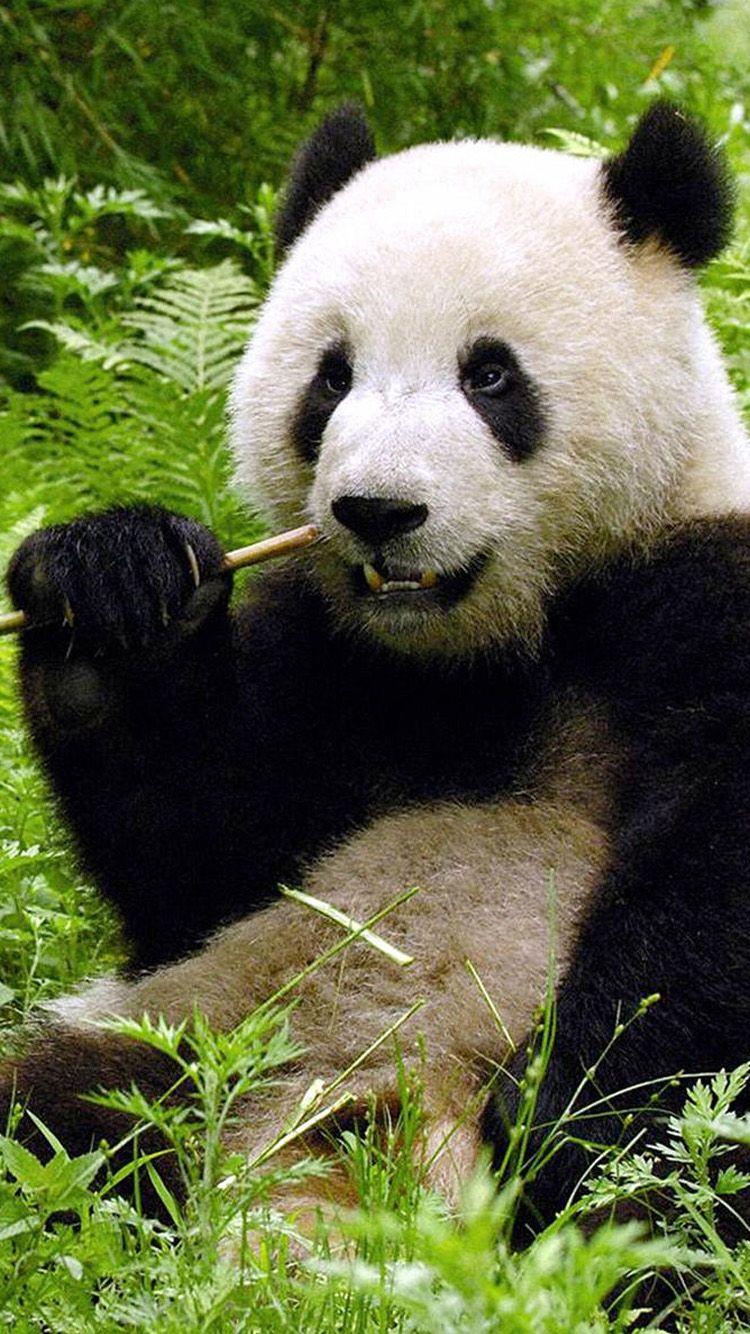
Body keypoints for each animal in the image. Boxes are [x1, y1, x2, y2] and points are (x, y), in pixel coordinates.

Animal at [5, 100, 750, 1235]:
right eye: (331, 377)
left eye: (490, 375)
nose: (379, 511)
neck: (494, 646)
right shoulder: (331, 661)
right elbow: (205, 858)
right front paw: (110, 593)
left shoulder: (702, 594)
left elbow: (705, 914)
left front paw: (570, 1120)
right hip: (204, 1027)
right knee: (57, 1117)